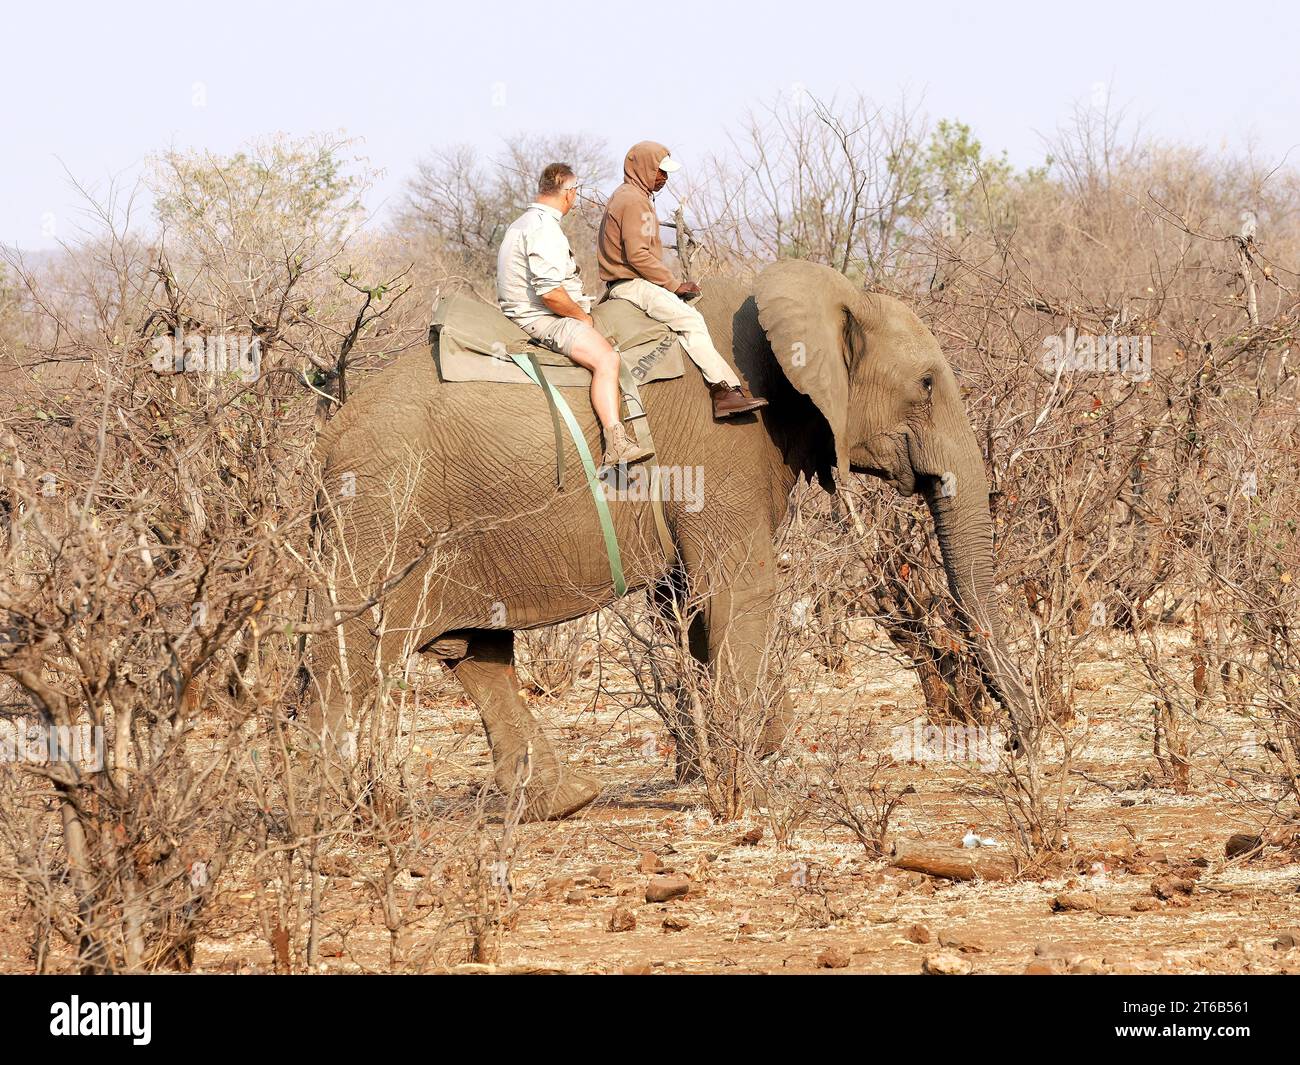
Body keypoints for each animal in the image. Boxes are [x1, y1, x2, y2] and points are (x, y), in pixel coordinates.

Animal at [308, 259, 1030, 821]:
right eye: (927, 385)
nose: (1018, 746)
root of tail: (326, 439)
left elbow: (694, 609)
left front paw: (751, 762)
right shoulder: (722, 444)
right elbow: (740, 591)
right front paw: (753, 791)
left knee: (477, 648)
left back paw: (565, 800)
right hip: (381, 511)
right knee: (351, 656)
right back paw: (328, 823)